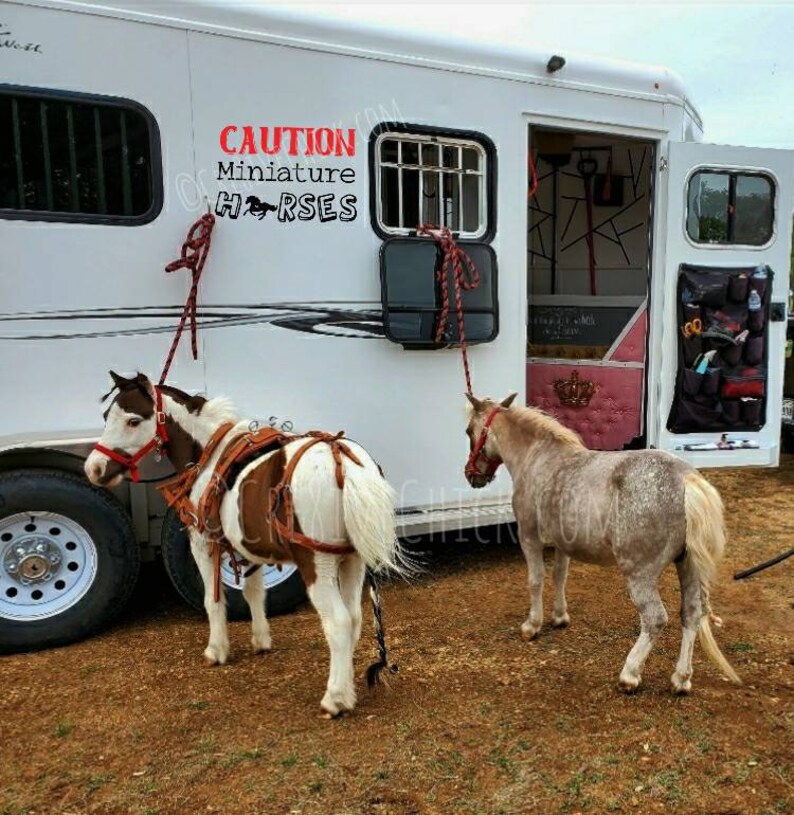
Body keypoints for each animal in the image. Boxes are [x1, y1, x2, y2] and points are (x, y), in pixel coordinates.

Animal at [85, 371, 406, 717]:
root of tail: (341, 459)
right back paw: (346, 688)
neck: (209, 454)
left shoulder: (203, 543)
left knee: (338, 622)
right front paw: (261, 640)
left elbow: (212, 600)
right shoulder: (248, 546)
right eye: (106, 416)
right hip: (351, 561)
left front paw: (216, 649)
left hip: (316, 564)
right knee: (355, 618)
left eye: (133, 420)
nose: (94, 468)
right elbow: (254, 593)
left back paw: (335, 698)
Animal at [463, 392, 740, 694]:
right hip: (687, 566)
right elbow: (559, 577)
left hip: (639, 575)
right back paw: (681, 678)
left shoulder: (529, 537)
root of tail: (686, 479)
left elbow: (535, 580)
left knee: (655, 619)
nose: (471, 475)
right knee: (691, 615)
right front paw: (559, 617)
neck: (538, 457)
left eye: (468, 431)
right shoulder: (562, 544)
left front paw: (531, 626)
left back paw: (630, 674)